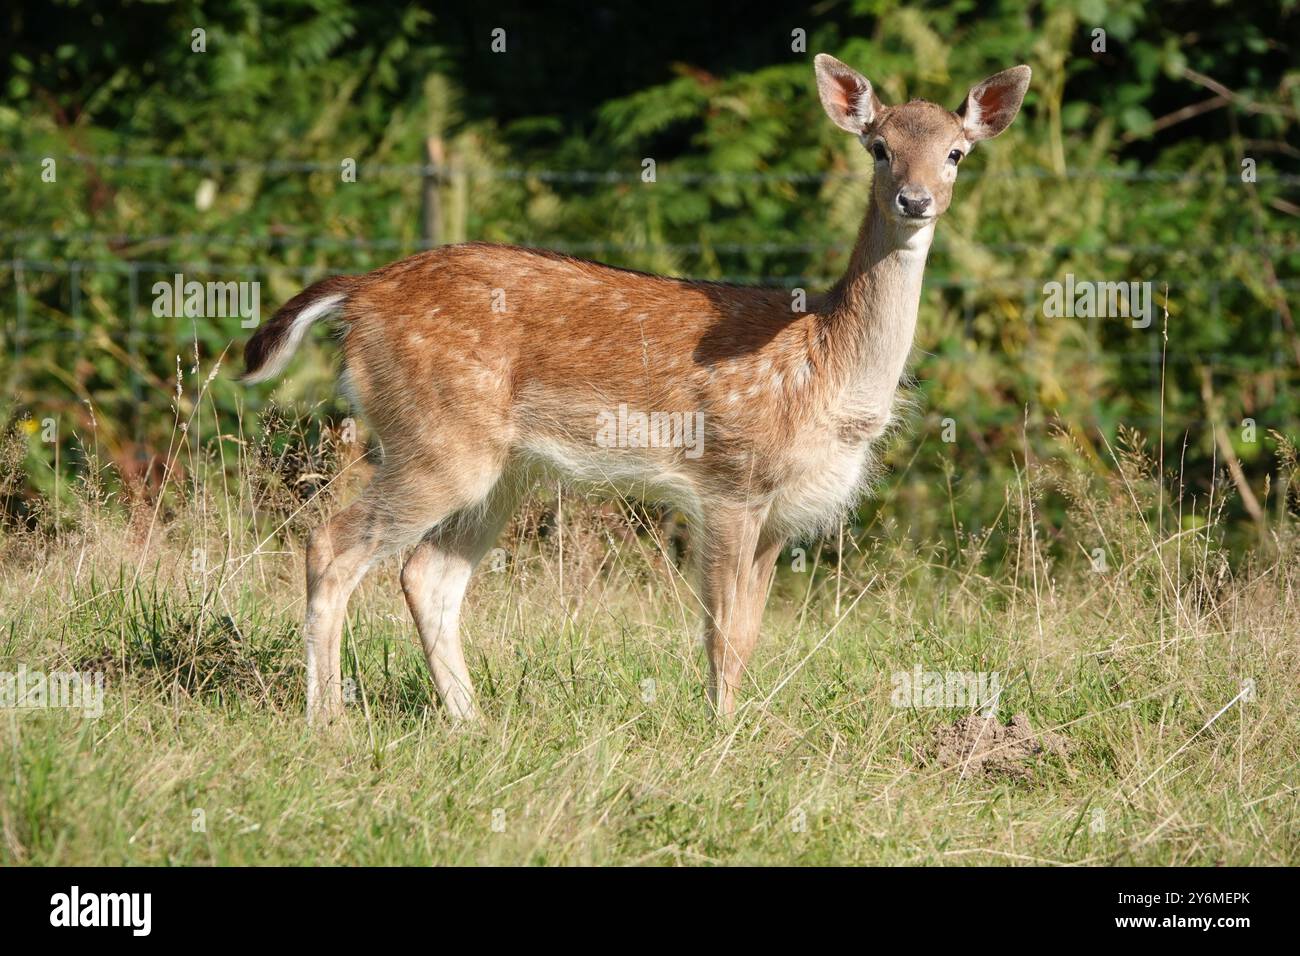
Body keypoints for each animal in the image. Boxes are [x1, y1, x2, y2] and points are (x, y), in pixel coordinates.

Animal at [241, 54, 1031, 726]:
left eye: (956, 153)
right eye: (878, 147)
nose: (915, 199)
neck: (825, 366)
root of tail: (358, 294)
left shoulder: (784, 511)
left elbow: (749, 632)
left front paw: (734, 724)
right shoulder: (731, 480)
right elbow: (722, 634)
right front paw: (722, 733)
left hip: (498, 467)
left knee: (427, 573)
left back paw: (472, 724)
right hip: (437, 438)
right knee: (330, 544)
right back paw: (328, 721)